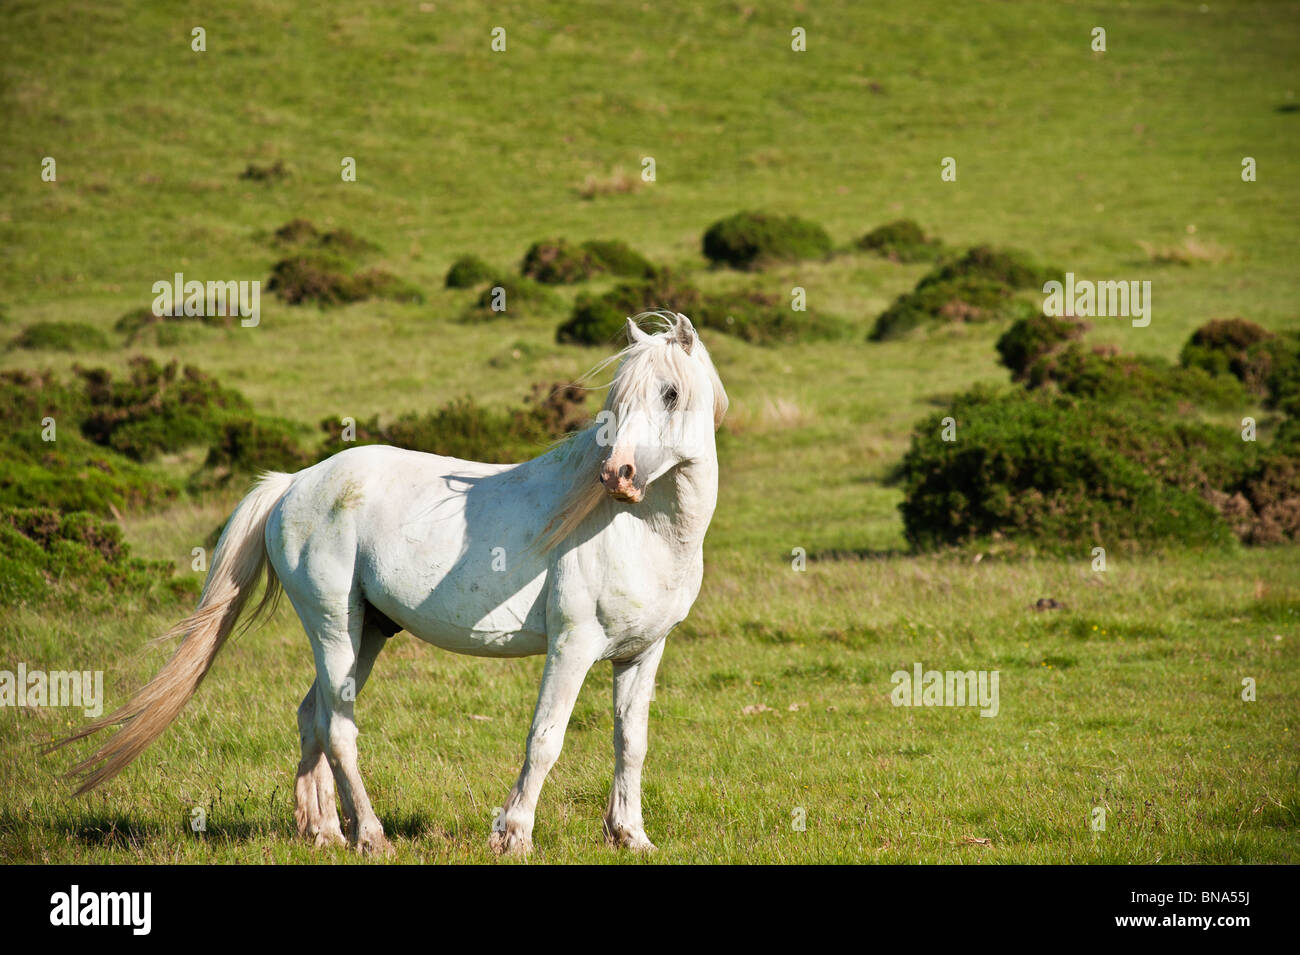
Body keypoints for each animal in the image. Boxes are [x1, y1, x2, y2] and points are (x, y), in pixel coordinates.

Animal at [49, 311, 728, 856]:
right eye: (618, 395)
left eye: (670, 393)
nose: (618, 475)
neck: (641, 530)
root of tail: (293, 484)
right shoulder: (572, 646)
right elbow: (546, 739)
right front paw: (513, 836)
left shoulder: (641, 654)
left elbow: (631, 741)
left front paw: (632, 836)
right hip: (335, 627)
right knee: (338, 727)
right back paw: (371, 836)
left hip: (369, 632)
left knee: (313, 716)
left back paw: (325, 831)